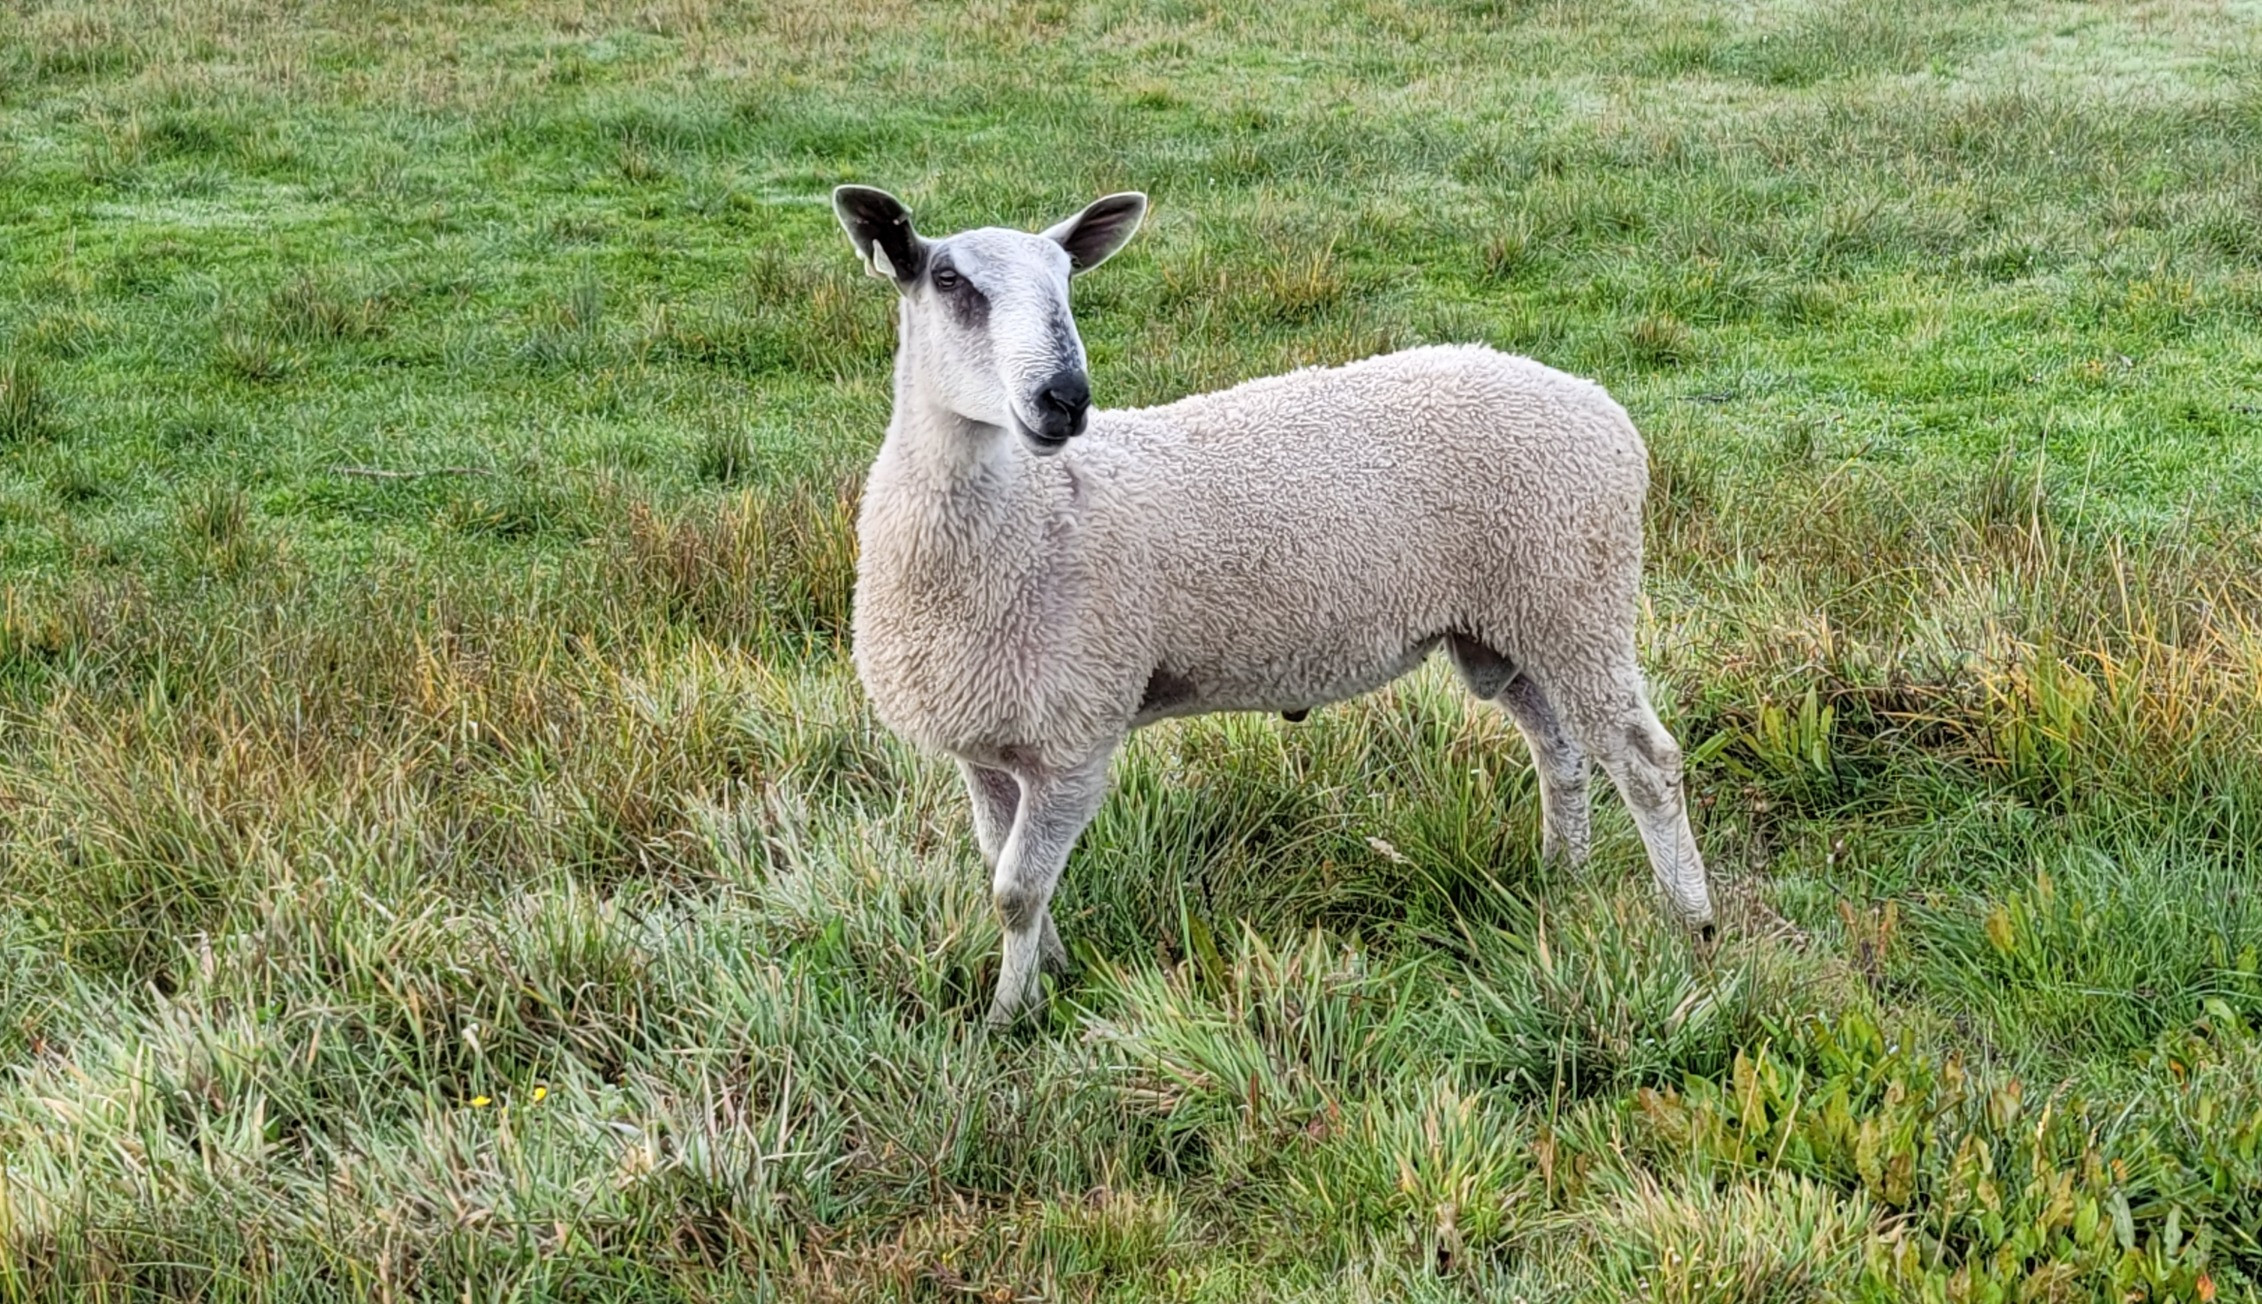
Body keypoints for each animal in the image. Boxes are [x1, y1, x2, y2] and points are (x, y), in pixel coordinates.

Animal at [831, 185, 1715, 1026]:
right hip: (1508, 623)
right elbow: (1005, 870)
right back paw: (1563, 876)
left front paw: (1013, 1016)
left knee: (1645, 761)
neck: (1028, 512)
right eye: (949, 281)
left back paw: (1690, 920)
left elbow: (1015, 891)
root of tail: (1602, 406)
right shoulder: (987, 743)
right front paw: (1052, 970)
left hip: (1577, 596)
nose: (1065, 397)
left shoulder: (1075, 740)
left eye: (1068, 283)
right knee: (1561, 750)